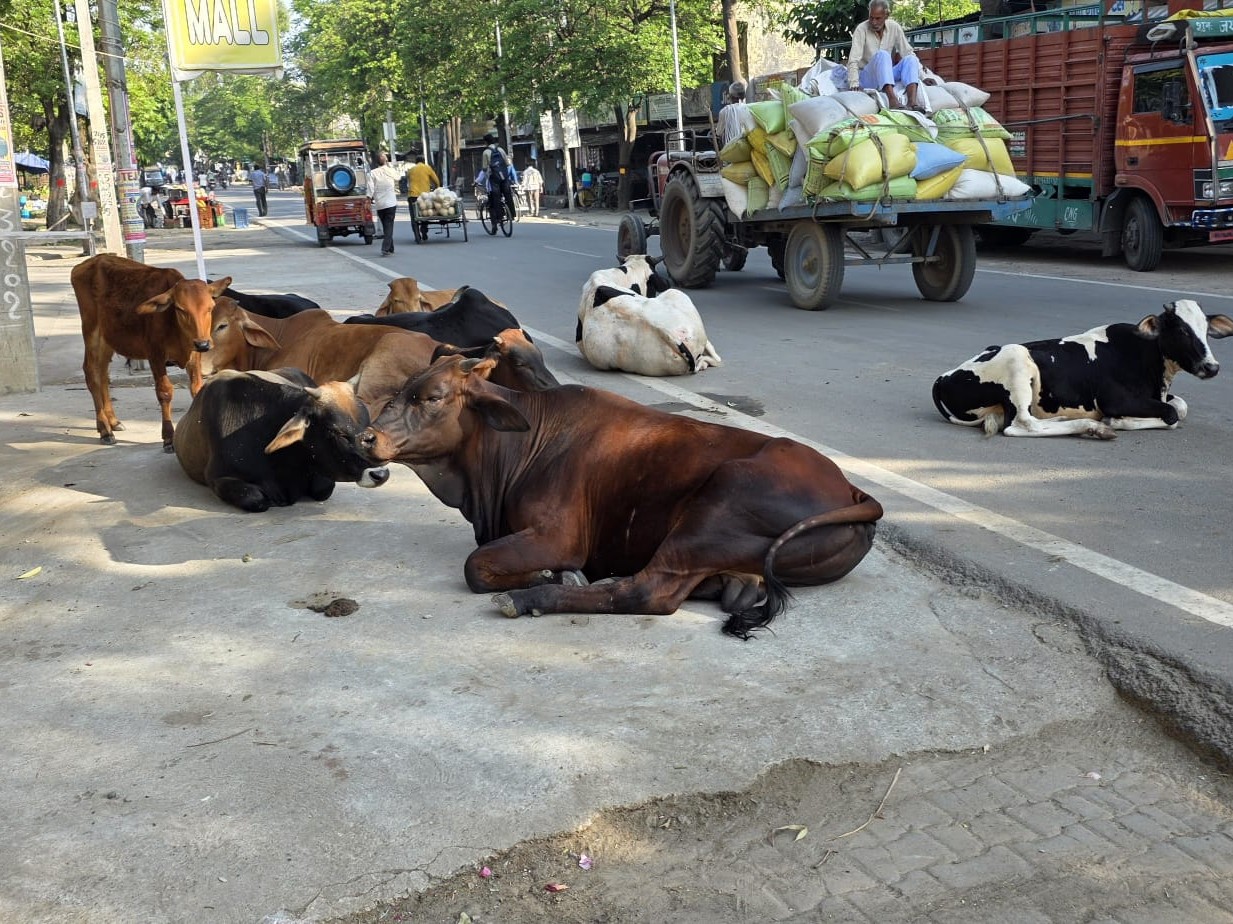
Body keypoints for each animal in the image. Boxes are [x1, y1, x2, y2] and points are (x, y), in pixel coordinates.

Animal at [71, 253, 232, 450]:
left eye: (210, 307)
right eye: (180, 309)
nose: (203, 344)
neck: (174, 326)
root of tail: (87, 263)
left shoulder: (194, 355)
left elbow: (196, 388)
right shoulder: (155, 354)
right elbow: (165, 392)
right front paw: (168, 437)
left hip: (108, 339)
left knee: (102, 374)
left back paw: (113, 421)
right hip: (91, 331)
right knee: (91, 372)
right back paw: (104, 429)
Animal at [173, 368, 390, 512]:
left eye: (367, 422)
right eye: (335, 431)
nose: (380, 474)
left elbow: (323, 488)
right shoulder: (217, 477)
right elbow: (255, 498)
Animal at [359, 356, 882, 640]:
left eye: (432, 397)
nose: (367, 438)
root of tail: (851, 488)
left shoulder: (559, 535)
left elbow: (476, 566)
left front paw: (549, 576)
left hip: (717, 505)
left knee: (649, 592)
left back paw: (534, 596)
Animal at [932, 300, 1233, 438]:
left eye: (1206, 329)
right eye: (1182, 330)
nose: (1212, 367)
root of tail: (942, 378)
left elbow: (1179, 406)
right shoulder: (1114, 399)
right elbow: (1171, 415)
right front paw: (1118, 421)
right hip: (1017, 358)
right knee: (1021, 425)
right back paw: (1093, 427)